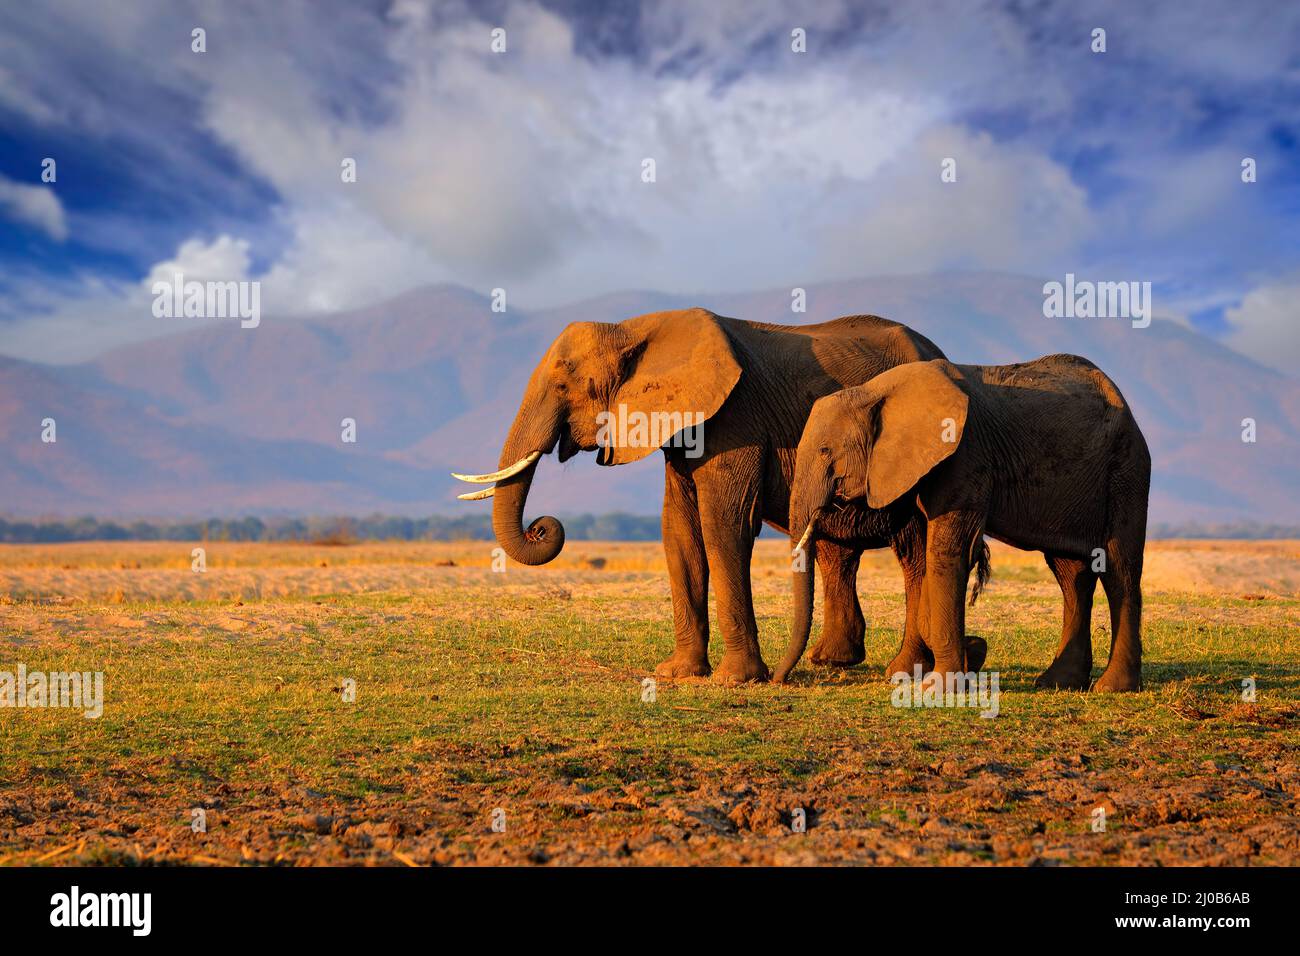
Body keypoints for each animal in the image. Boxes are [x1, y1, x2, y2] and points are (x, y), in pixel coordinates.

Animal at [451, 308, 947, 683]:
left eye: (563, 388)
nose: (543, 527)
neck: (634, 328)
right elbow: (679, 529)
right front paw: (677, 674)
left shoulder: (735, 418)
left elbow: (723, 523)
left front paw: (735, 679)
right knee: (836, 551)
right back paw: (832, 661)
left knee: (912, 553)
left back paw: (905, 670)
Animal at [773, 354, 1151, 692]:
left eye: (825, 450)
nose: (779, 679)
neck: (875, 390)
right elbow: (931, 553)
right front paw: (969, 655)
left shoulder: (965, 456)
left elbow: (948, 553)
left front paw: (939, 687)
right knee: (1071, 573)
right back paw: (1058, 683)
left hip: (1126, 470)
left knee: (1117, 568)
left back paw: (1112, 687)